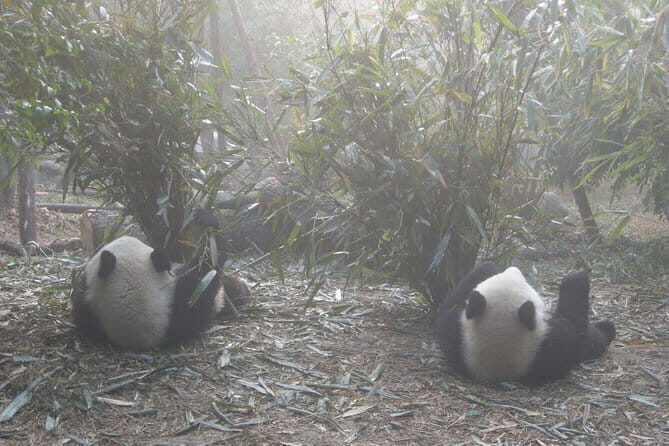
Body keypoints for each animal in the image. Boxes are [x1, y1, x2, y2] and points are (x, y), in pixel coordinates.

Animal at [436, 262, 615, 385]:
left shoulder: (456, 339)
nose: (514, 268)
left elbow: (448, 308)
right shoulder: (548, 352)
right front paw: (575, 279)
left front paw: (487, 267)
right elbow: (578, 335)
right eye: (523, 281)